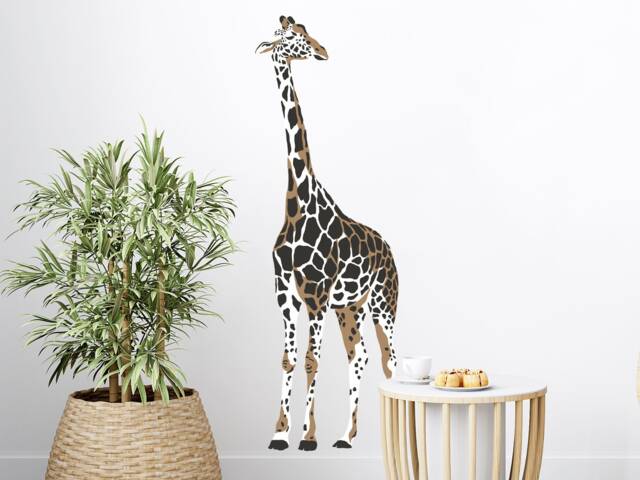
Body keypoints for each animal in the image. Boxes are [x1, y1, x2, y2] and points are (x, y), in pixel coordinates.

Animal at [257, 15, 399, 451]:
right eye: (290, 37)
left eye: (305, 32)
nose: (322, 51)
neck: (296, 203)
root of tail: (390, 249)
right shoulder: (286, 292)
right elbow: (289, 358)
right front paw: (280, 433)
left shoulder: (316, 293)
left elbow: (311, 360)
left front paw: (307, 436)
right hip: (350, 307)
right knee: (362, 356)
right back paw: (346, 436)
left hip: (383, 303)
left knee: (392, 359)